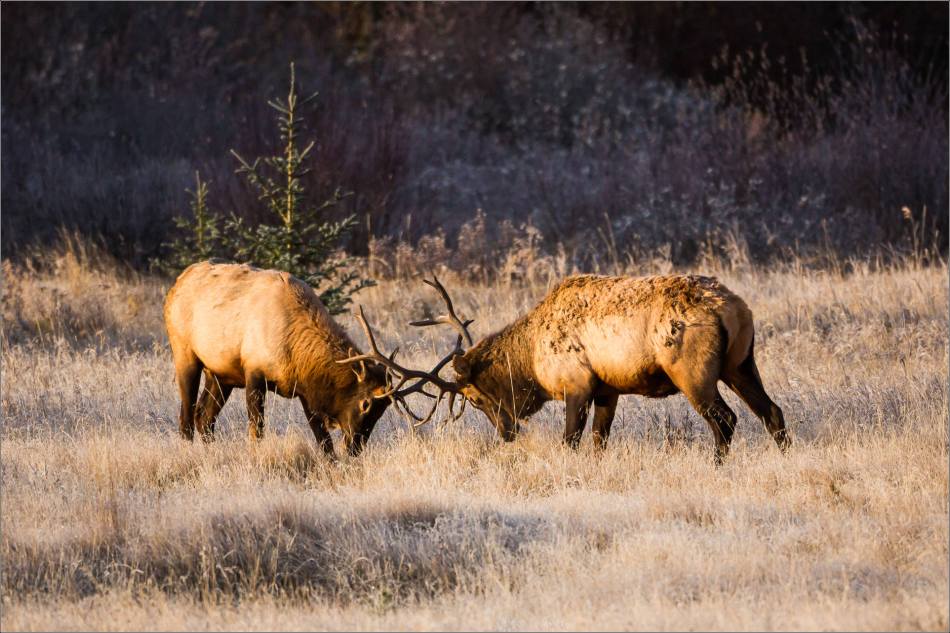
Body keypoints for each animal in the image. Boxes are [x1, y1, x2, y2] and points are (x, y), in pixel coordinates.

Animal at [163, 261, 460, 456]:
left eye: (383, 409)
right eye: (365, 403)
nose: (355, 448)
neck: (295, 350)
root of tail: (176, 284)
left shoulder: (306, 390)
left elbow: (323, 442)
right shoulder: (254, 372)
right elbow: (257, 430)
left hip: (220, 374)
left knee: (204, 418)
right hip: (185, 354)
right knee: (186, 416)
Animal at [376, 274, 791, 464]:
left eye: (476, 398)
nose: (507, 433)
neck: (532, 359)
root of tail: (733, 310)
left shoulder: (576, 383)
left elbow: (571, 439)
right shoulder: (609, 389)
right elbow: (598, 439)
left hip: (693, 372)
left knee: (726, 419)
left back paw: (717, 465)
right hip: (741, 364)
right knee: (772, 411)